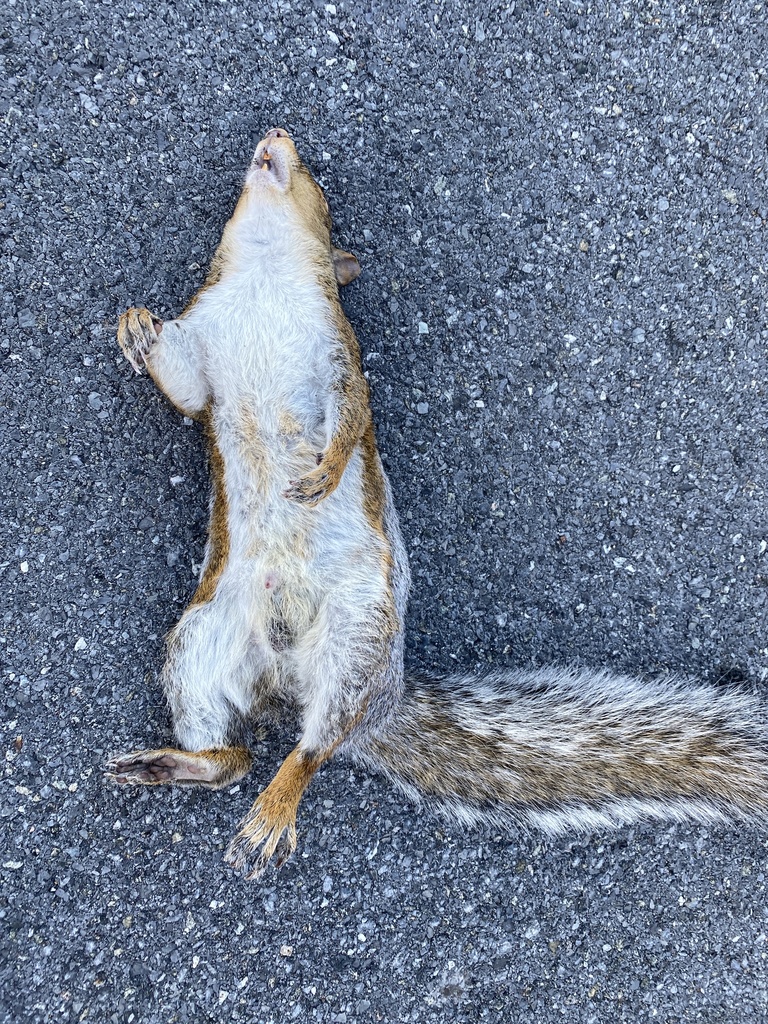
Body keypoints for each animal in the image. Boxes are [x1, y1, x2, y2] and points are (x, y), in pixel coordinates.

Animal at [107, 127, 768, 880]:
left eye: (316, 186)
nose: (276, 136)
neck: (265, 278)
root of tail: (291, 681)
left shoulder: (339, 355)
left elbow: (351, 418)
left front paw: (324, 472)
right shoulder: (206, 347)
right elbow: (185, 386)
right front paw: (136, 327)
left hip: (357, 639)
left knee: (310, 751)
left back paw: (273, 811)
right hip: (200, 643)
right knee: (236, 757)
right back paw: (175, 764)